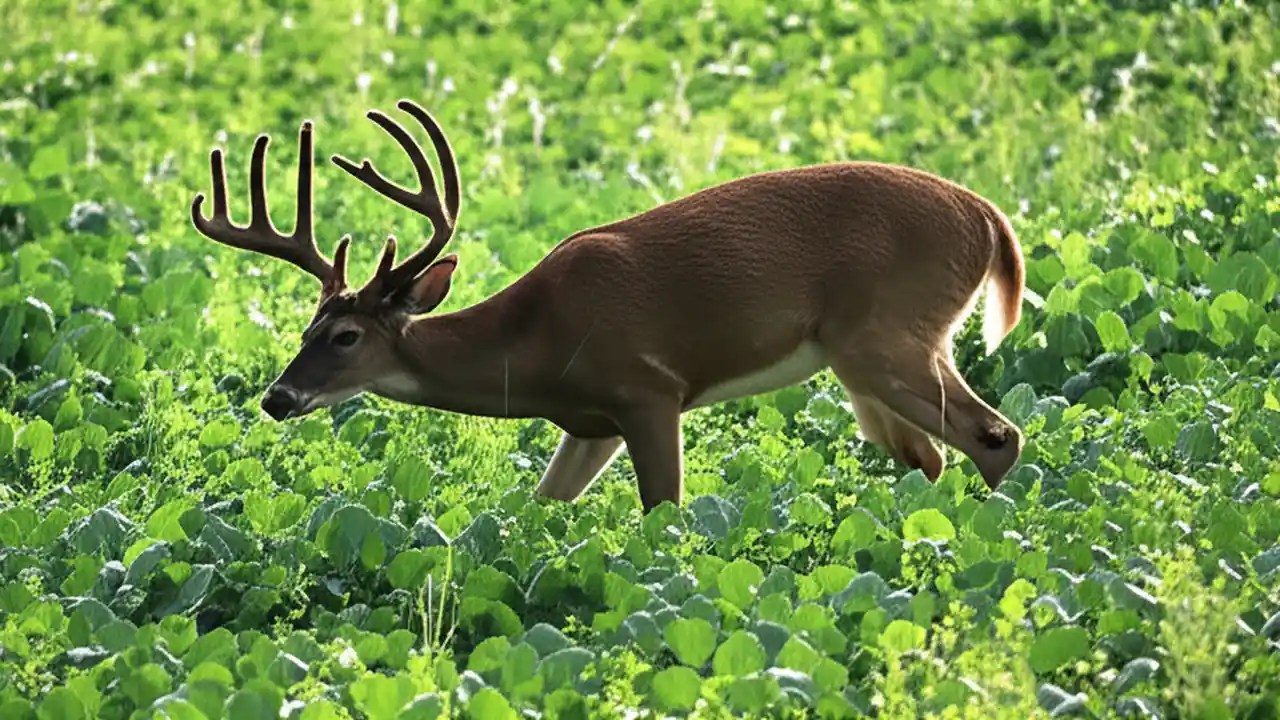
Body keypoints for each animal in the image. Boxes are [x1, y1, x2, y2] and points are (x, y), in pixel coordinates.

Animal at [190, 99, 1026, 513]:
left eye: (343, 335)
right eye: (304, 327)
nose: (275, 398)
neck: (535, 344)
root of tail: (991, 219)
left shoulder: (648, 389)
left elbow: (666, 513)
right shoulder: (589, 423)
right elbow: (540, 507)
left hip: (887, 335)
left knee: (995, 436)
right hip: (870, 363)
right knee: (932, 458)